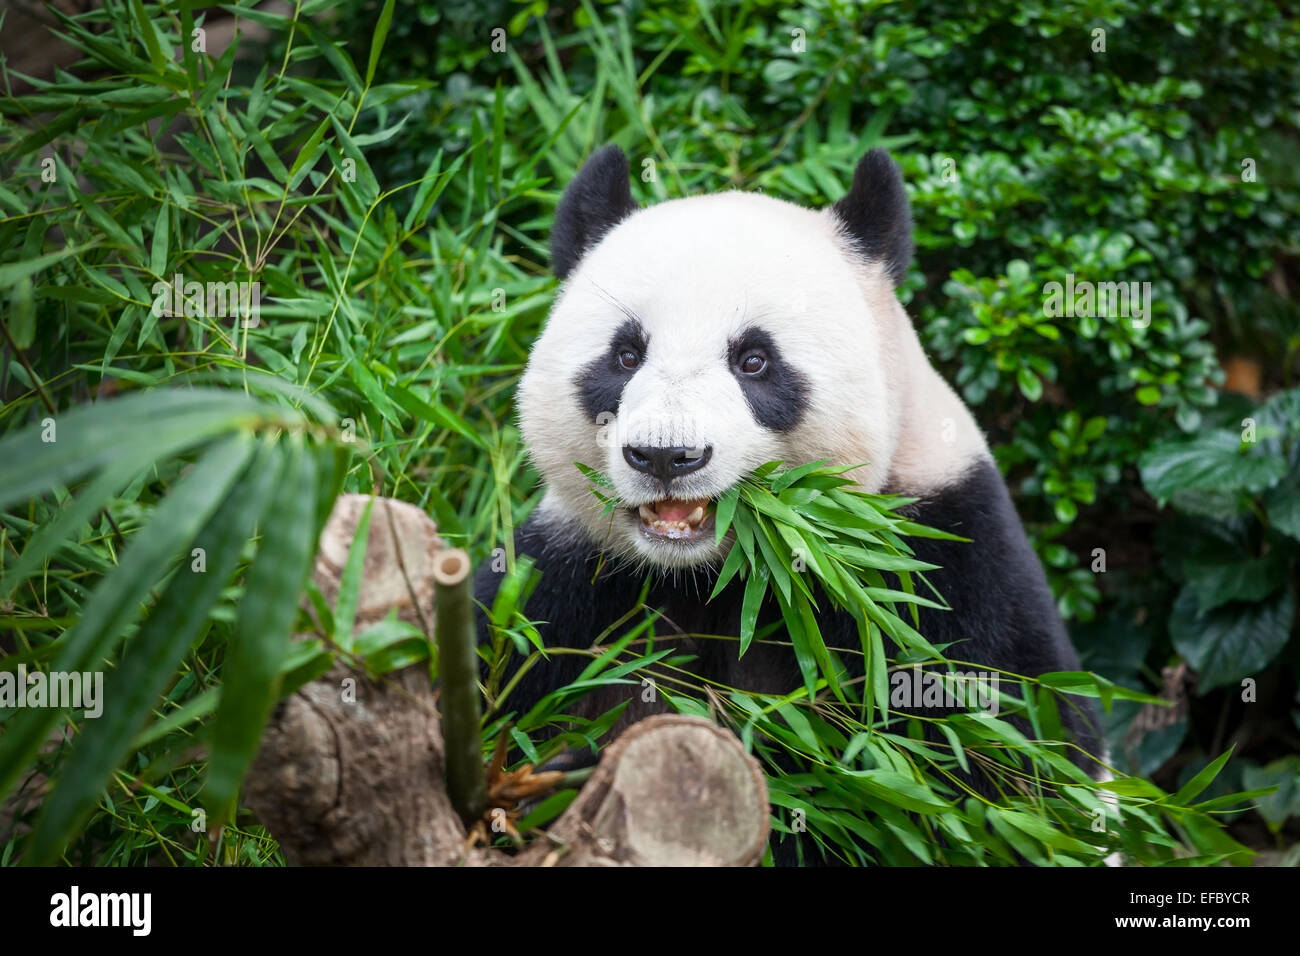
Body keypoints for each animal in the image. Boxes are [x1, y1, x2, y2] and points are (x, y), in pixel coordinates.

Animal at [474, 145, 1108, 863]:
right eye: (626, 354)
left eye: (754, 360)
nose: (666, 456)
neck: (722, 572)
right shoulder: (571, 579)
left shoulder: (940, 561)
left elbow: (997, 769)